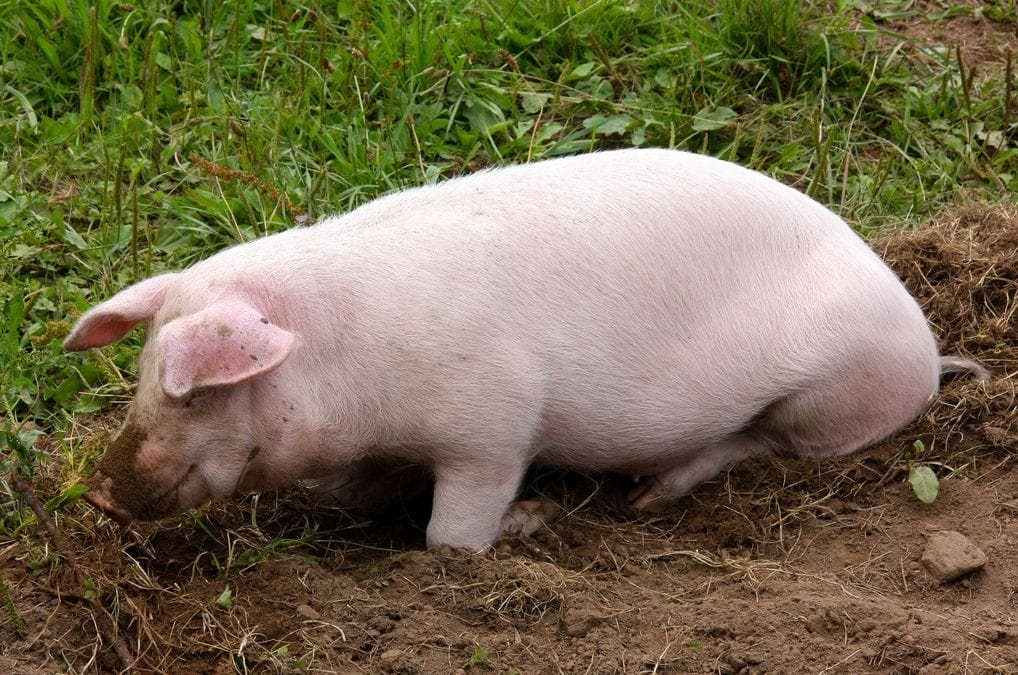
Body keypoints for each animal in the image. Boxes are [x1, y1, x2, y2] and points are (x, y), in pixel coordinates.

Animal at [64, 148, 989, 550]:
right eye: (142, 374)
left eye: (196, 391)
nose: (100, 494)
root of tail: (927, 353)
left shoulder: (492, 424)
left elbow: (452, 537)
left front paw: (532, 519)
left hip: (825, 392)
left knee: (760, 443)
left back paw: (646, 498)